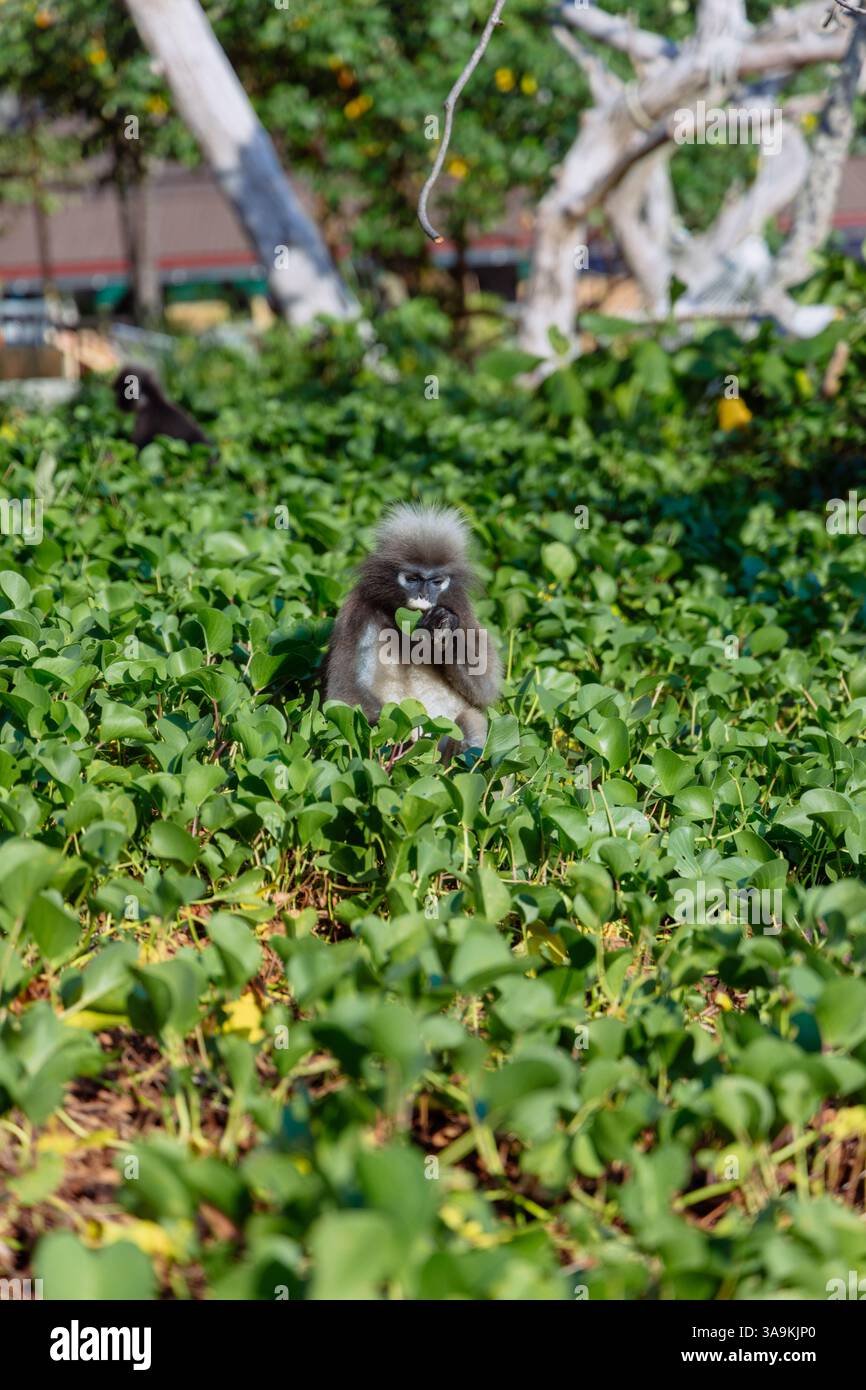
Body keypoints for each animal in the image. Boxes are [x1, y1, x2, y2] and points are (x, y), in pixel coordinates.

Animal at [323, 503, 502, 759]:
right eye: (413, 579)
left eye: (436, 582)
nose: (424, 595)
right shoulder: (356, 612)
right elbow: (344, 696)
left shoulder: (462, 609)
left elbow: (485, 688)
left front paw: (443, 630)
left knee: (471, 719)